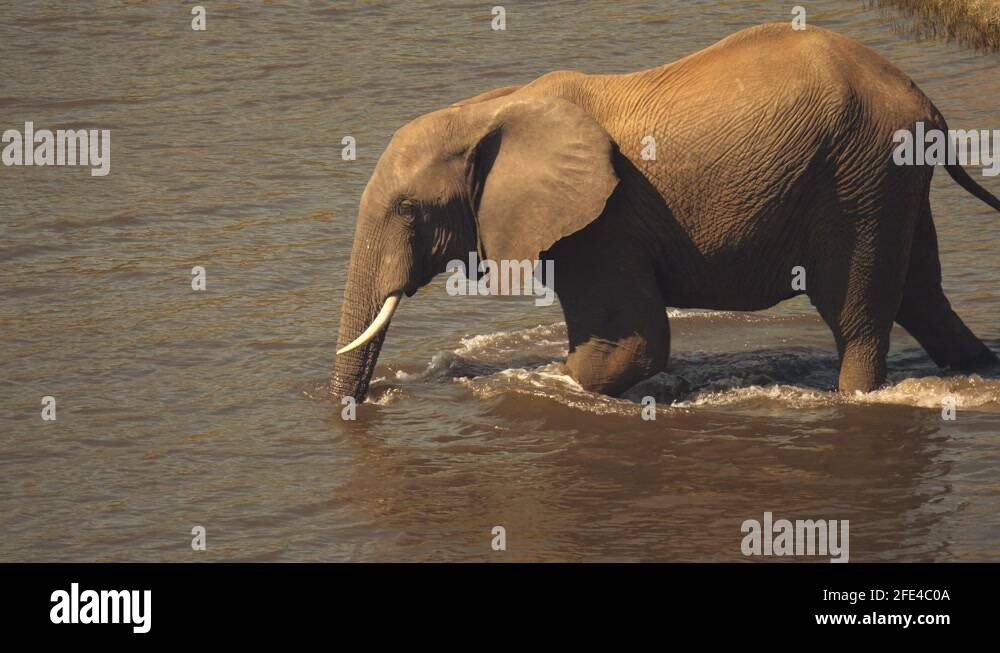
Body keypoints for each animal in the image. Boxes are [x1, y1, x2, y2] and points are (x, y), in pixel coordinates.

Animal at [331, 22, 1000, 404]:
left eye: (409, 208)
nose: (371, 400)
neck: (490, 107)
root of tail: (925, 101)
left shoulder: (606, 224)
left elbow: (631, 348)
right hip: (891, 182)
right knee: (923, 297)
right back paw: (978, 371)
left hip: (861, 176)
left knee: (857, 314)